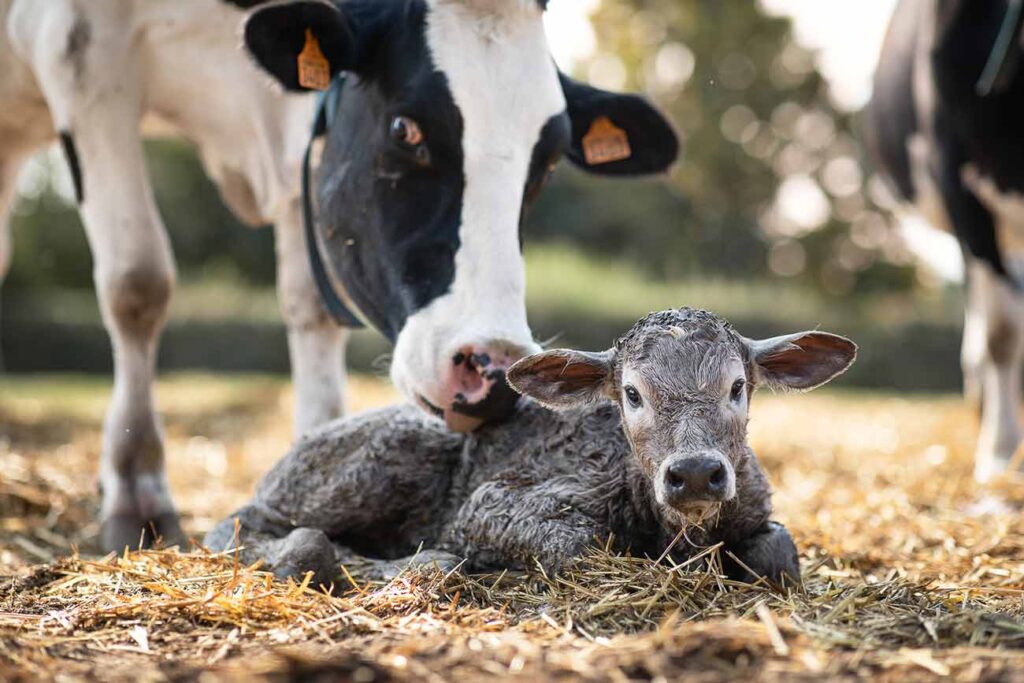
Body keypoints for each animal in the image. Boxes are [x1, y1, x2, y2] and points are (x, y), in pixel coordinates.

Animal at [0, 0, 679, 552]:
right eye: (405, 129)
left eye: (549, 160)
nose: (493, 372)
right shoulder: (83, 52)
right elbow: (137, 283)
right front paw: (136, 495)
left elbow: (311, 305)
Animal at [206, 307, 858, 586]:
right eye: (631, 393)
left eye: (737, 387)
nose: (695, 472)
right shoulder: (490, 503)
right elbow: (577, 545)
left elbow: (779, 552)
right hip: (393, 455)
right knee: (245, 527)